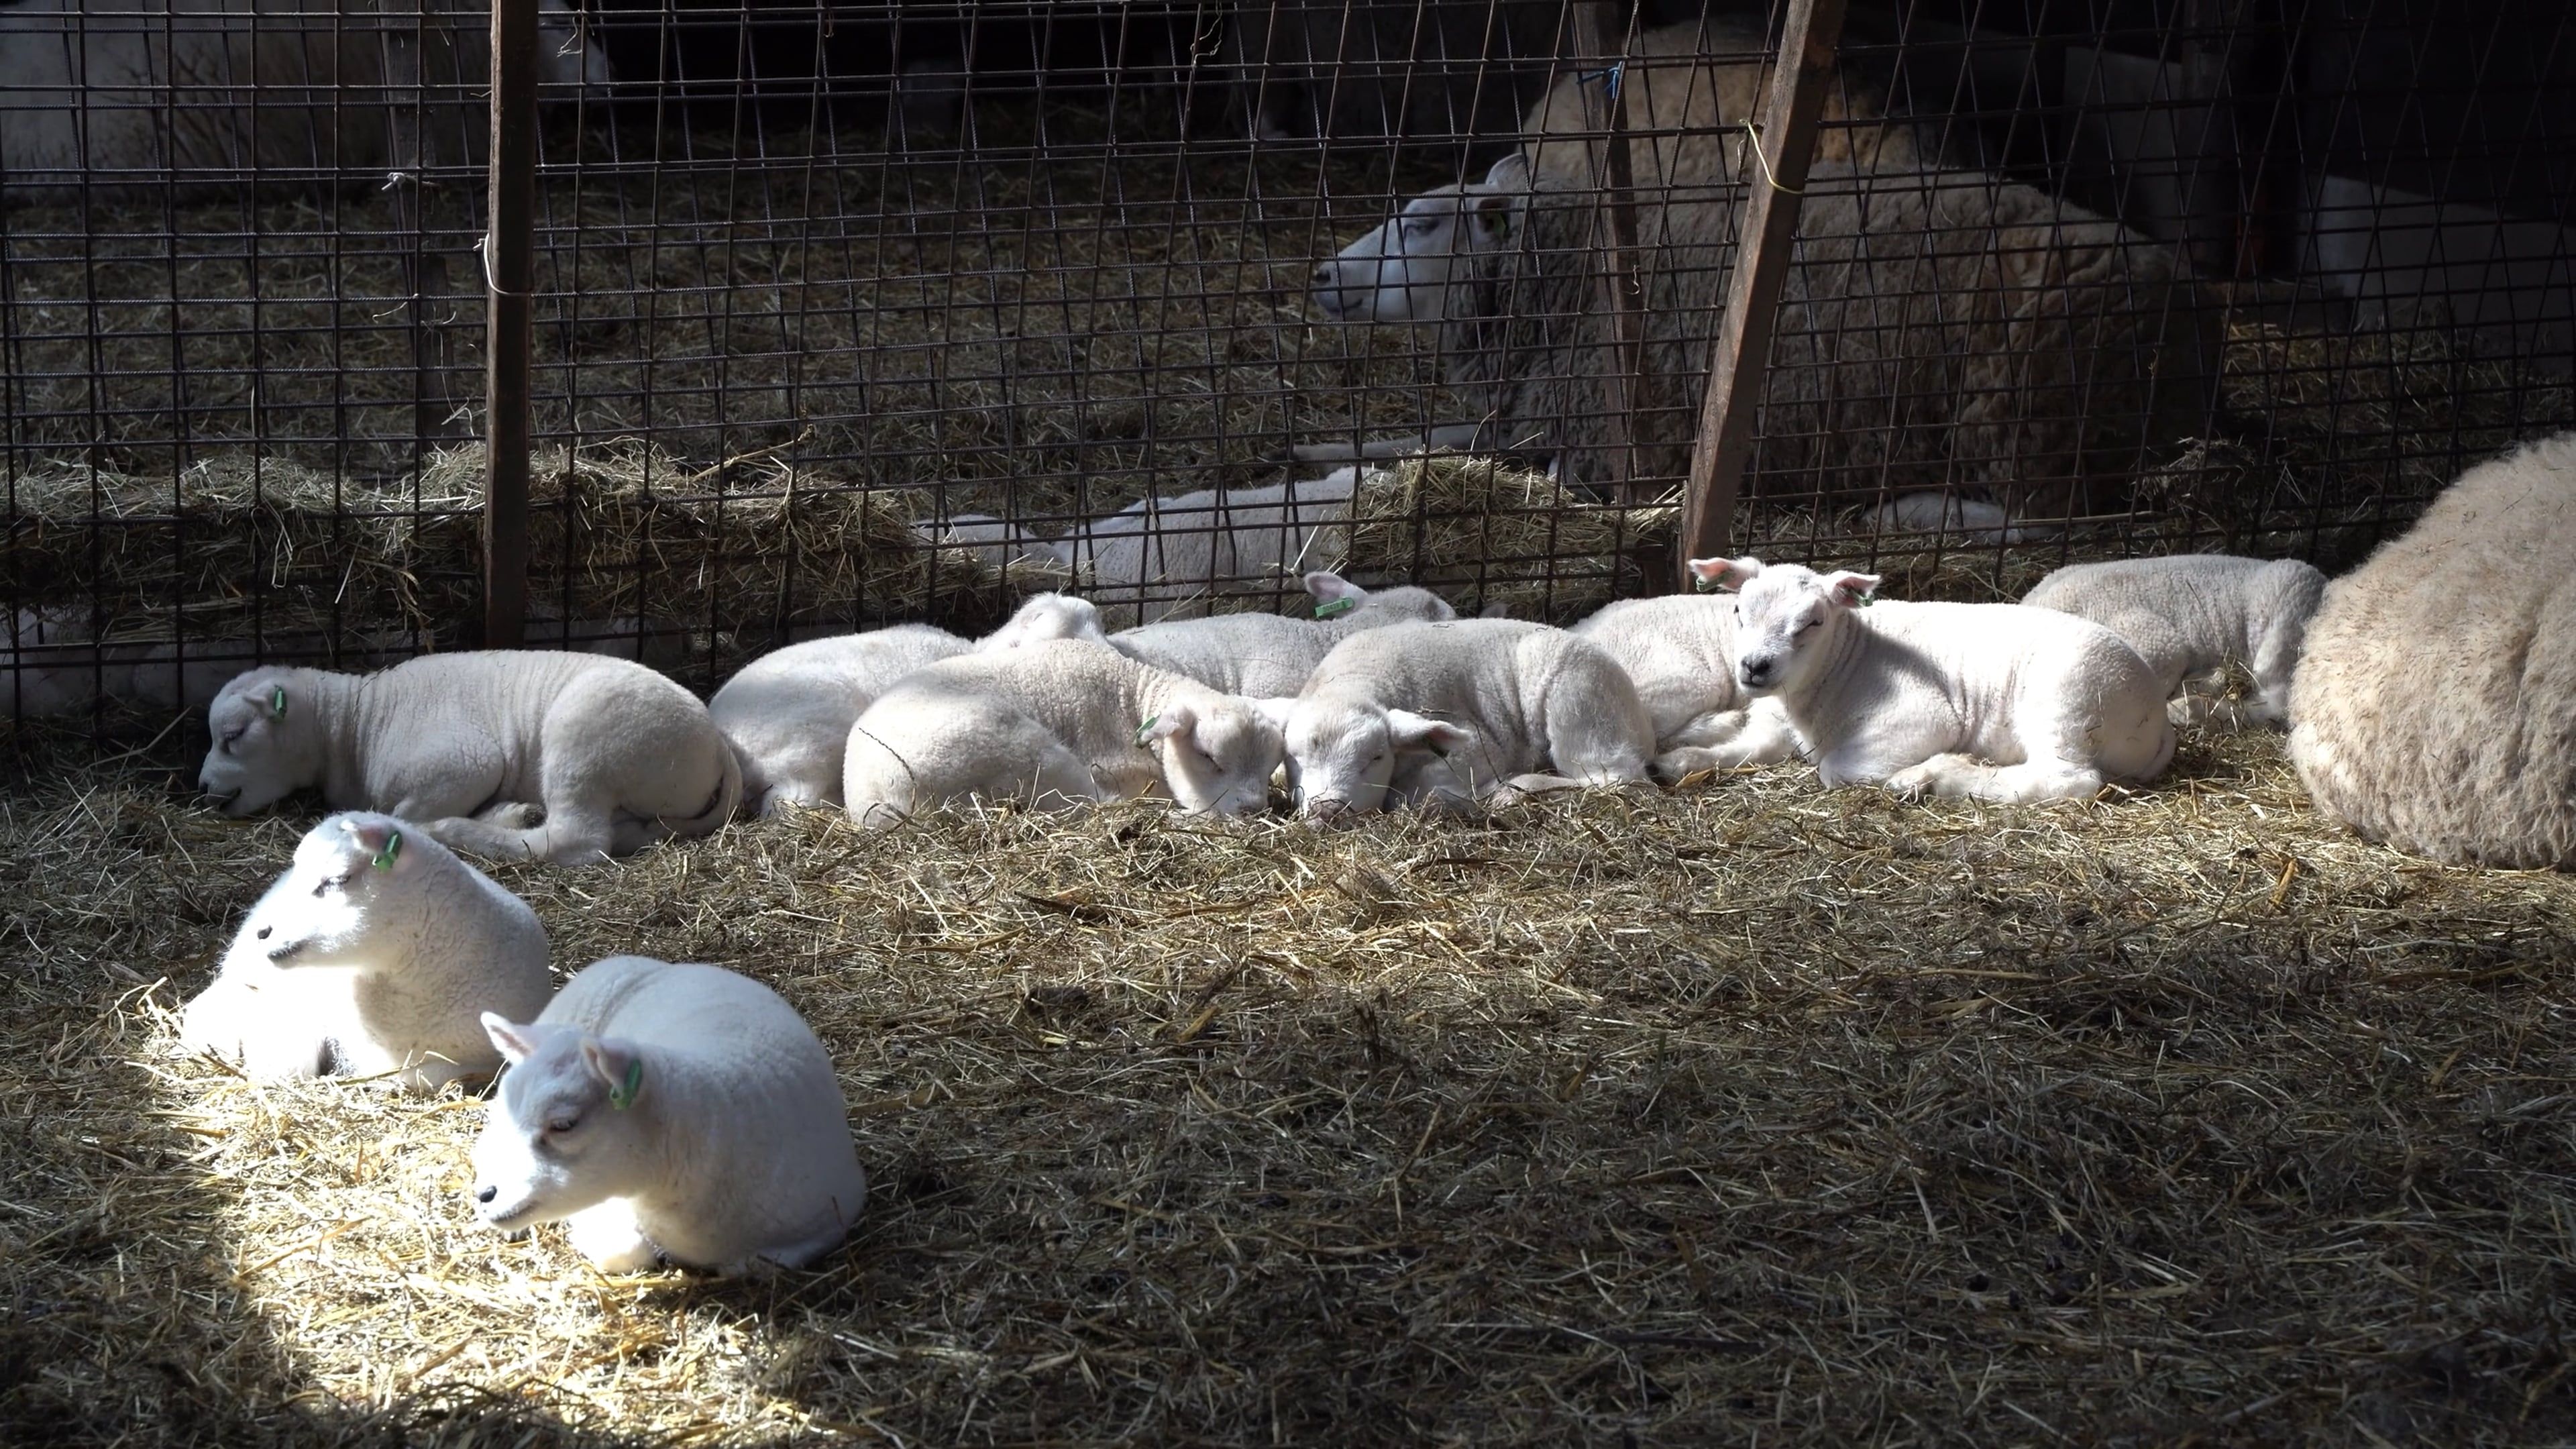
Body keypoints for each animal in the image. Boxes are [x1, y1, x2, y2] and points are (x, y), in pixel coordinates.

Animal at [197, 651, 739, 865]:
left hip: (586, 741)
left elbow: (403, 815)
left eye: (233, 735)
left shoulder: (462, 761)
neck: (353, 724)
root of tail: (716, 747)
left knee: (576, 841)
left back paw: (461, 830)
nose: (202, 788)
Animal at [840, 638, 1287, 829]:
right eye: (1208, 757)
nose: (1253, 810)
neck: (1132, 691)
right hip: (1025, 755)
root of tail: (881, 805)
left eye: (1270, 768)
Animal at [1281, 618, 1653, 821]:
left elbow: (1419, 793)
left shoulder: (1477, 746)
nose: (1326, 811)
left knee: (1616, 778)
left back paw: (1517, 790)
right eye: (1295, 758)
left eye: (1376, 757)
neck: (1354, 679)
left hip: (1580, 704)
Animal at [1306, 152, 2213, 535]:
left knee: (2053, 524)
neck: (1568, 286)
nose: (1318, 274)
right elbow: (1423, 441)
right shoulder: (1535, 413)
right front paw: (1320, 456)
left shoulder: (1621, 442)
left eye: (1422, 224)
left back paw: (1911, 511)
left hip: (2030, 405)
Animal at [1697, 556, 2173, 802]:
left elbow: (1833, 767)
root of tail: (2159, 719)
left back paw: (1936, 776)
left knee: (2069, 779)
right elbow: (1748, 746)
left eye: (1813, 622)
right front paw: (1685, 761)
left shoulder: (1925, 718)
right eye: (1738, 611)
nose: (1755, 666)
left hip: (2067, 701)